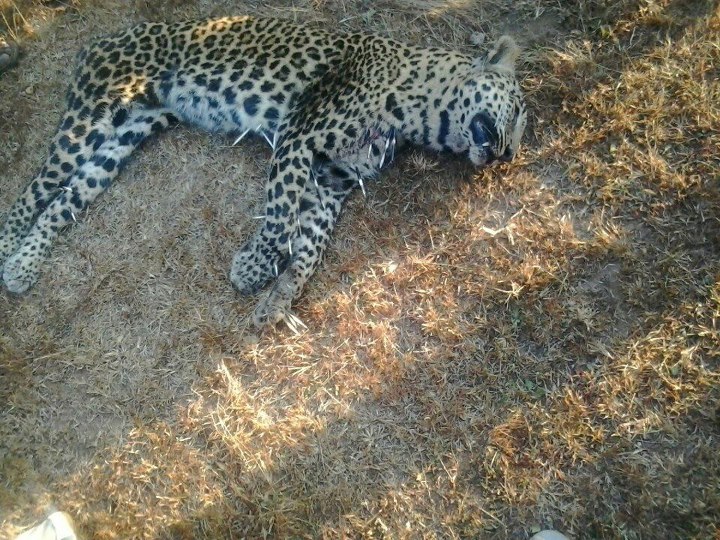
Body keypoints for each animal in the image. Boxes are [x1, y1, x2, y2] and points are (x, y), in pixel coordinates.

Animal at [0, 15, 527, 329]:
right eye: (521, 112)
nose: (509, 156)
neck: (419, 110)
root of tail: (104, 38)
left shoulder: (331, 180)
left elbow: (311, 243)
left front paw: (278, 298)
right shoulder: (299, 137)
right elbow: (278, 213)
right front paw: (254, 267)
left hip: (123, 140)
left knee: (62, 200)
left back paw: (23, 266)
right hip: (90, 117)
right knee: (33, 190)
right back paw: (8, 247)